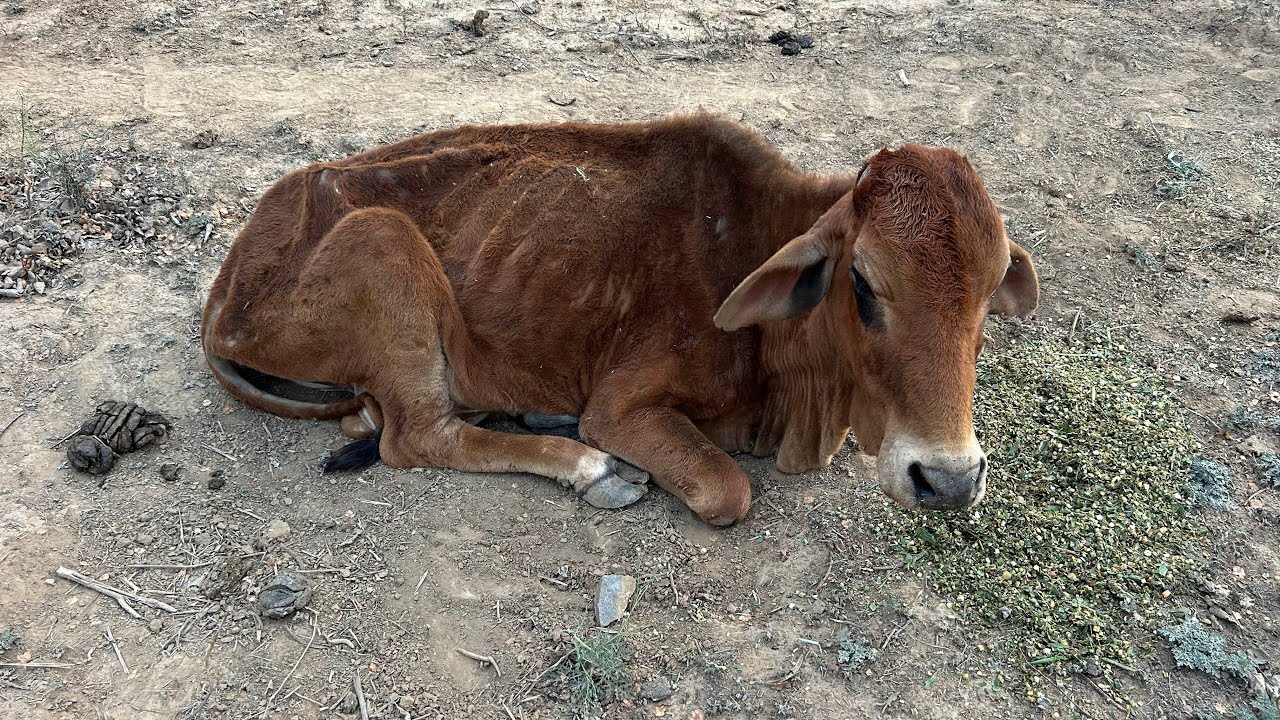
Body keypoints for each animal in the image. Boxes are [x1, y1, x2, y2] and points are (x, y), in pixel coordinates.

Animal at [200, 113, 1038, 527]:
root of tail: (225, 290)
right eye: (863, 283)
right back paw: (591, 469)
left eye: (990, 290)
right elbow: (727, 491)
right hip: (383, 243)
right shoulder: (622, 405)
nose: (948, 480)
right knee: (418, 437)